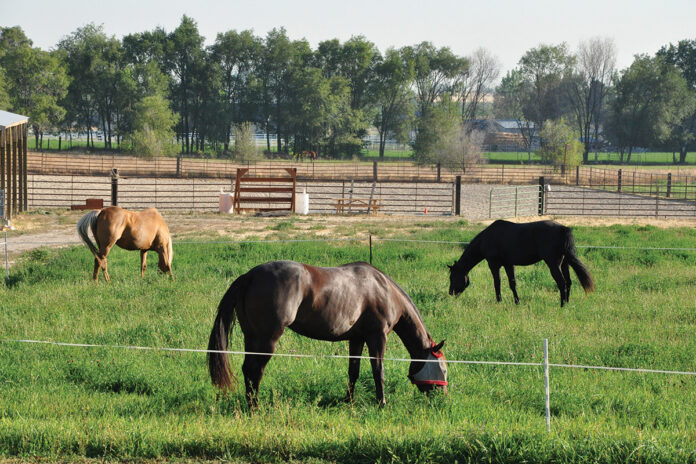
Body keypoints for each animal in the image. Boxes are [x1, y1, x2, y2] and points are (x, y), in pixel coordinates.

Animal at [208, 260, 447, 408]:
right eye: (443, 368)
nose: (442, 397)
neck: (384, 290)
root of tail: (250, 275)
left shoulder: (356, 339)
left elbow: (353, 372)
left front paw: (349, 400)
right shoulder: (377, 337)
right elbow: (378, 371)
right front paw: (382, 403)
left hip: (252, 337)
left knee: (248, 370)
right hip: (267, 340)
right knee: (255, 370)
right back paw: (255, 407)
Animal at [448, 220, 594, 307]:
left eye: (452, 277)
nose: (450, 293)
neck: (487, 238)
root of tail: (564, 228)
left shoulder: (493, 265)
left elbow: (497, 283)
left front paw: (499, 301)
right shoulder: (508, 264)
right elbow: (512, 284)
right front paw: (517, 302)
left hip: (553, 264)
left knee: (562, 283)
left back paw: (562, 305)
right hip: (565, 263)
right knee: (568, 282)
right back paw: (567, 303)